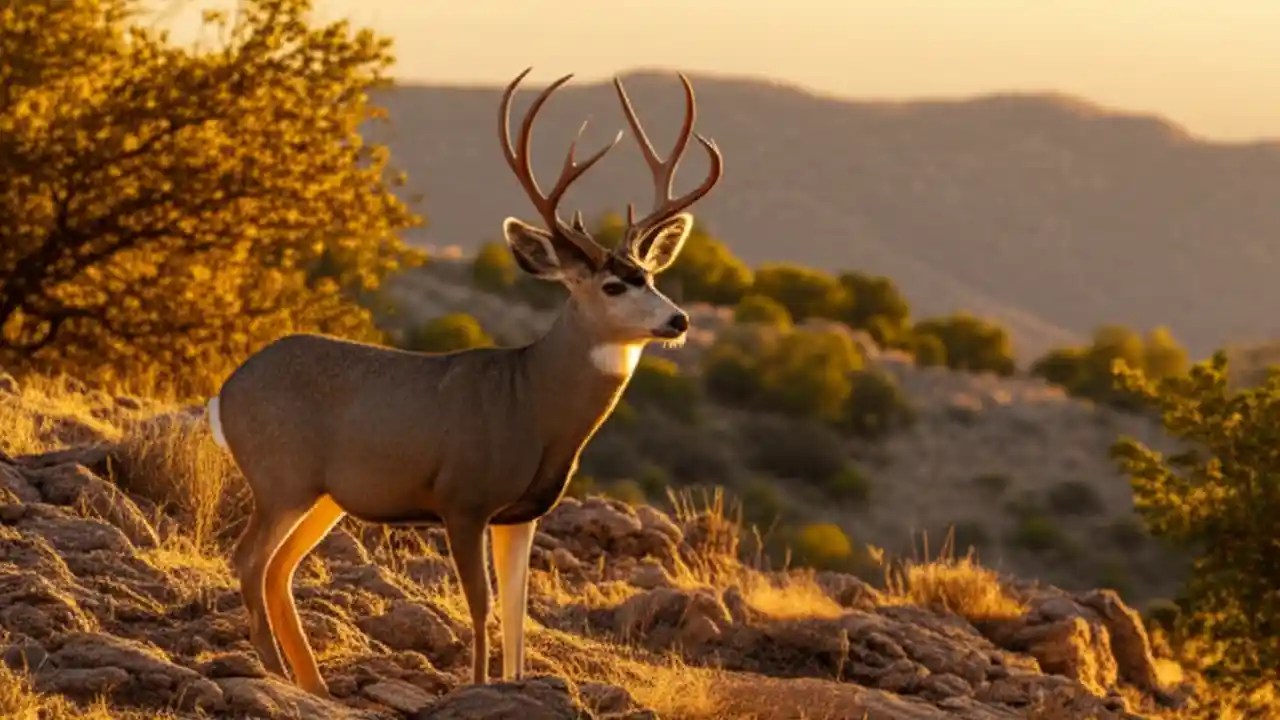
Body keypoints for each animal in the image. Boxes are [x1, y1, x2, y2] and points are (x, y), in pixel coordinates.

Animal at [206, 67, 724, 696]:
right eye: (613, 286)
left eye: (650, 275)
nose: (679, 320)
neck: (531, 400)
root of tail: (225, 392)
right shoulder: (462, 498)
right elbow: (481, 605)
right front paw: (475, 685)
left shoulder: (521, 514)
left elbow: (518, 611)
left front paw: (515, 682)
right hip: (281, 478)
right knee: (249, 560)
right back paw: (276, 674)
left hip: (325, 497)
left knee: (279, 568)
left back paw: (315, 685)